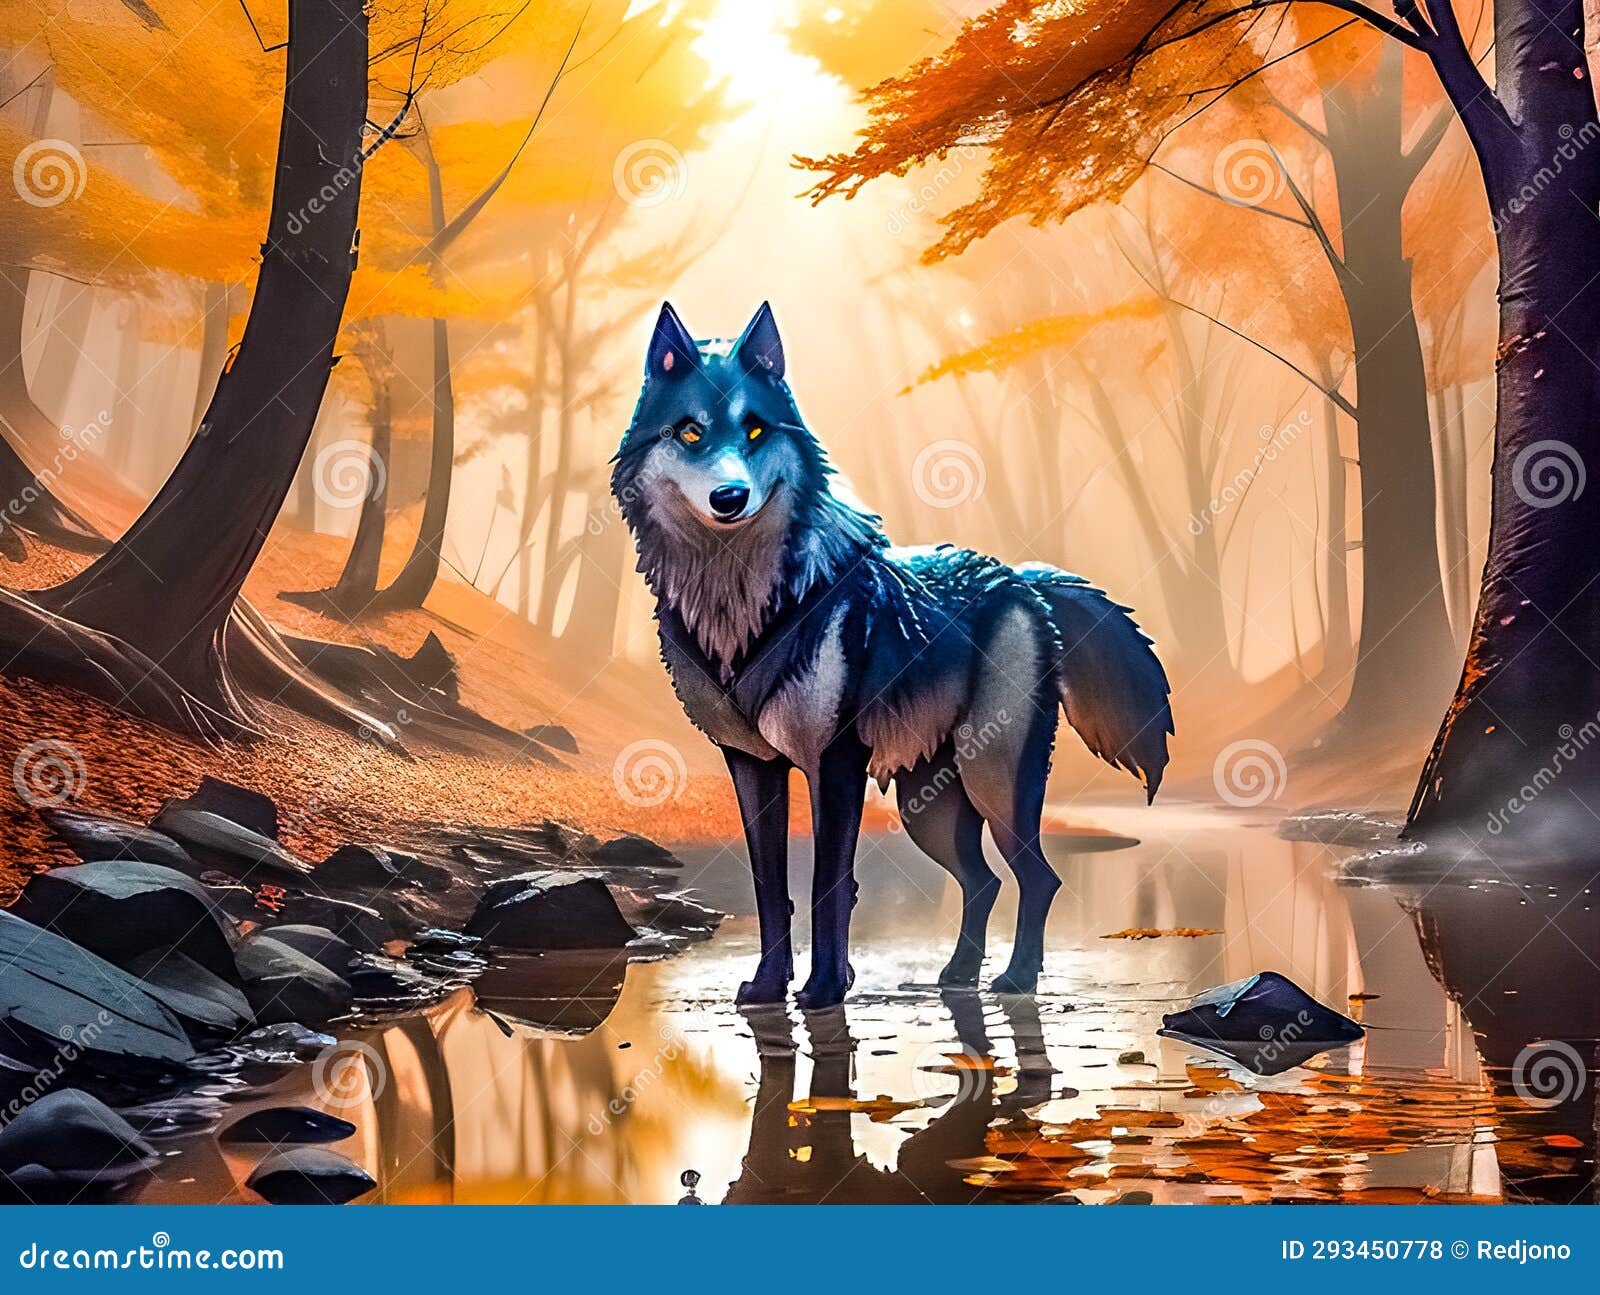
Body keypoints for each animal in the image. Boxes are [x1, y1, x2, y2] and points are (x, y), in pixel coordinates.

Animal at [612, 302, 1173, 1008]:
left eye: (756, 429)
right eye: (690, 432)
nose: (729, 497)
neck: (746, 605)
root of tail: (1021, 579)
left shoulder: (835, 763)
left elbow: (828, 885)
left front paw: (825, 988)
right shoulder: (753, 765)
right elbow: (771, 888)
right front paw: (769, 987)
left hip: (991, 783)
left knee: (1037, 877)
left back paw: (1015, 979)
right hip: (924, 807)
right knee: (985, 880)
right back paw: (958, 975)